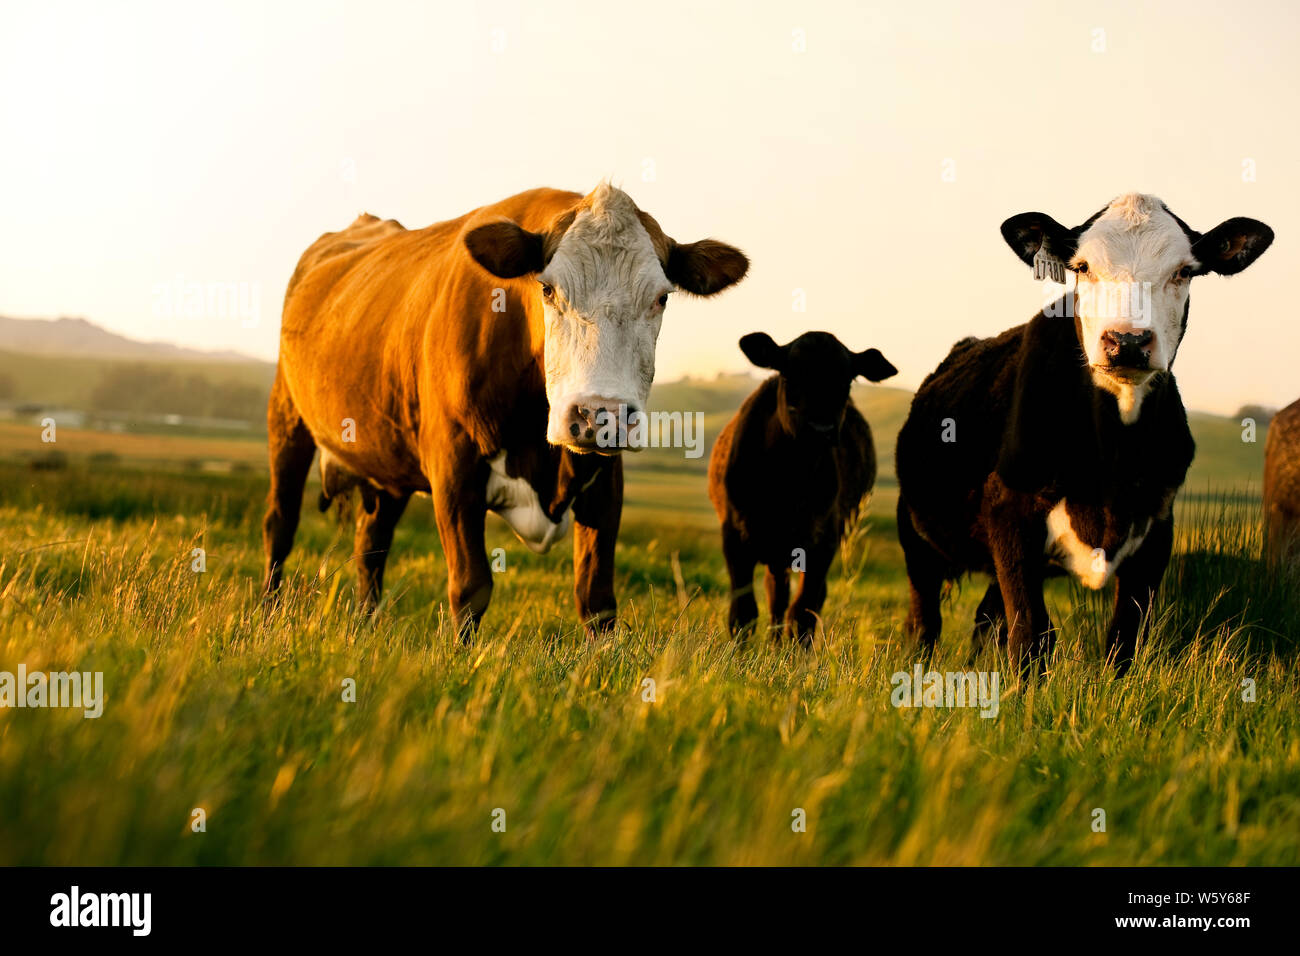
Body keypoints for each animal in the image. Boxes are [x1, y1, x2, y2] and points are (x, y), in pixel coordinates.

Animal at [262, 183, 749, 636]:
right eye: (548, 289)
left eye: (661, 298)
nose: (598, 416)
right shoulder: (454, 469)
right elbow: (471, 587)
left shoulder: (605, 480)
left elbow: (597, 600)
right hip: (287, 418)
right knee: (280, 524)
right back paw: (267, 616)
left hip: (386, 458)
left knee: (371, 543)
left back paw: (366, 624)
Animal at [708, 331, 898, 646]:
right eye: (790, 375)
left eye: (846, 381)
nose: (821, 428)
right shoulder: (734, 537)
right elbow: (743, 612)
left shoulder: (822, 544)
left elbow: (802, 613)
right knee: (776, 594)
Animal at [895, 193, 1273, 675]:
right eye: (1083, 267)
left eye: (1183, 271)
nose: (1128, 341)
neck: (1112, 461)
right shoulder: (1009, 513)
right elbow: (1031, 633)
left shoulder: (1157, 527)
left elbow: (1125, 636)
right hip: (915, 534)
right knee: (924, 619)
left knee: (986, 618)